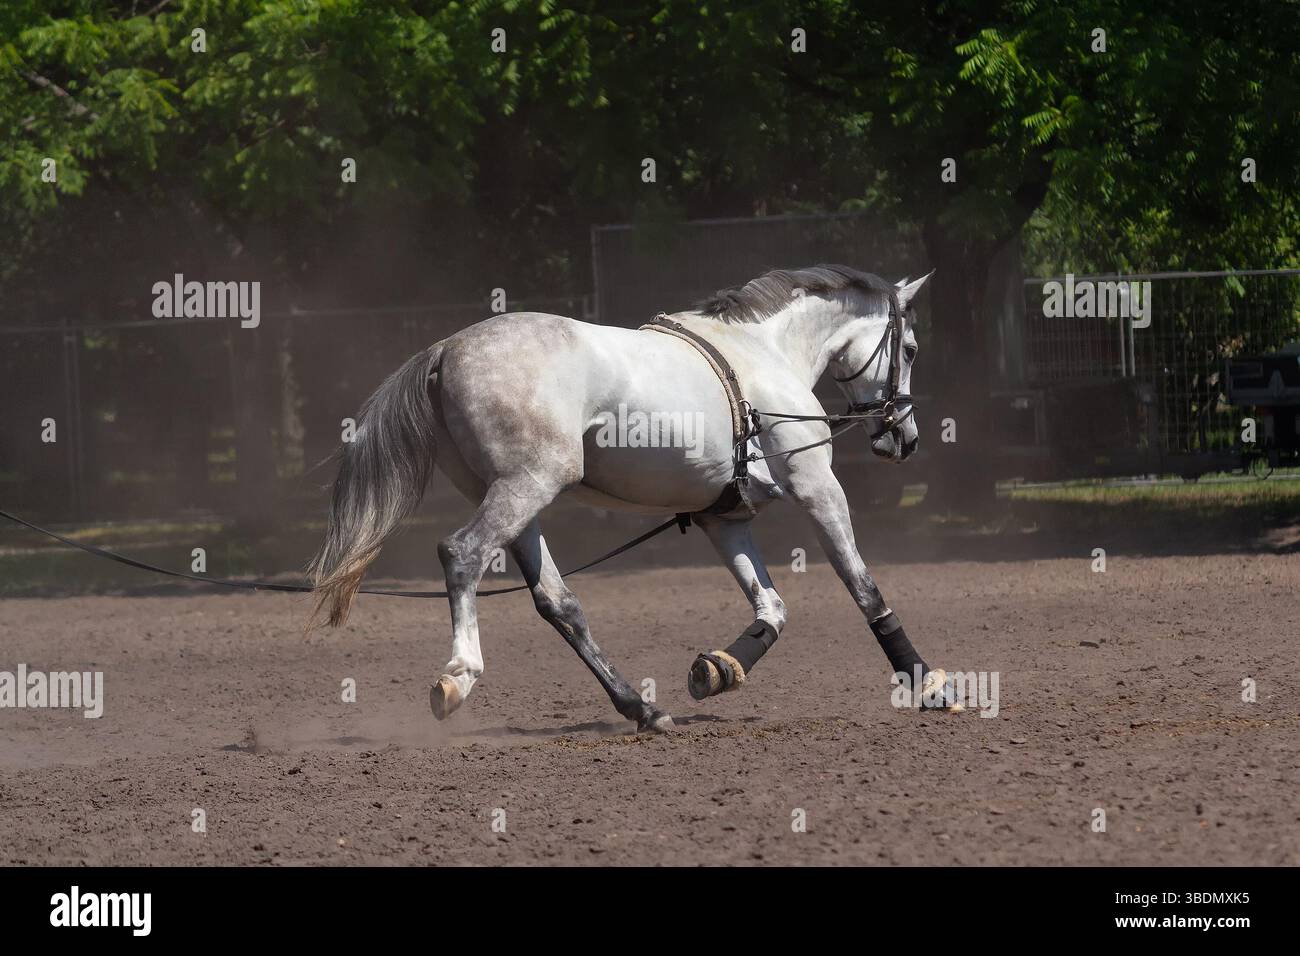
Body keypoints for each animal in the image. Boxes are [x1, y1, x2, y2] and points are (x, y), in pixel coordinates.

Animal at [309, 264, 957, 733]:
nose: (903, 436)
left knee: (558, 603)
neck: (763, 355)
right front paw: (927, 683)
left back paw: (642, 709)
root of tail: (445, 350)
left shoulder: (724, 517)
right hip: (528, 485)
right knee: (461, 554)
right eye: (911, 349)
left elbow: (771, 608)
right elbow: (864, 588)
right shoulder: (817, 487)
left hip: (516, 502)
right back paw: (459, 676)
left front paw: (718, 671)